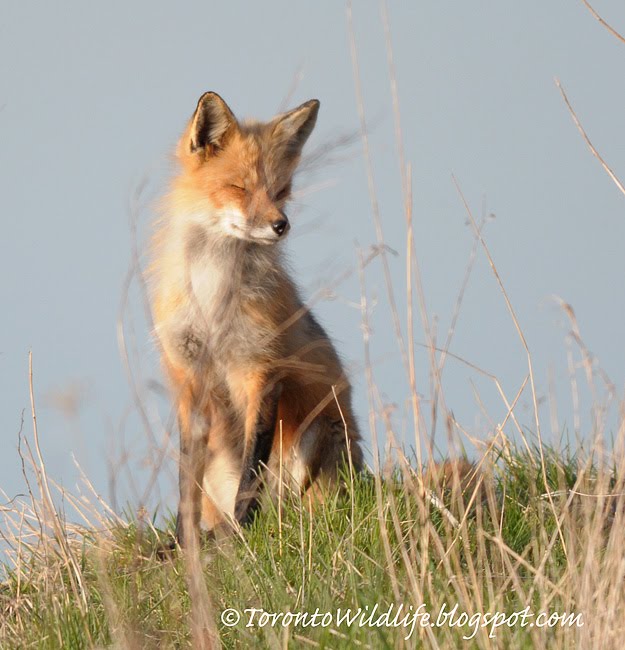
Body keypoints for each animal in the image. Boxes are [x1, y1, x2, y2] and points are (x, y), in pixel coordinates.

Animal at [149, 92, 363, 548]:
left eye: (281, 191)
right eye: (239, 187)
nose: (281, 225)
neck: (212, 302)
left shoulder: (260, 371)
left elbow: (252, 471)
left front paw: (244, 532)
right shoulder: (190, 380)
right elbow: (186, 485)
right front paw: (183, 544)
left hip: (316, 435)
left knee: (294, 504)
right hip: (221, 457)